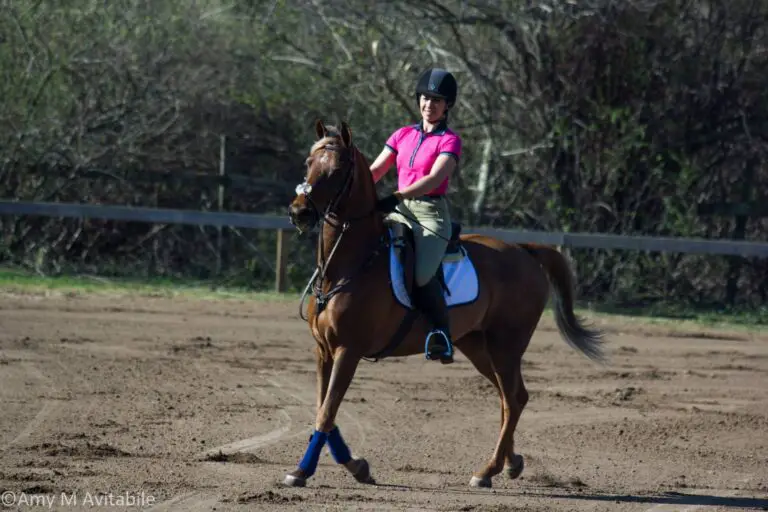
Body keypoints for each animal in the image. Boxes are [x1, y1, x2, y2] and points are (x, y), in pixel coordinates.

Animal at [284, 119, 605, 489]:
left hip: (506, 344)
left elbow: (327, 412)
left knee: (513, 399)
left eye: (336, 170)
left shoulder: (348, 350)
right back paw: (510, 463)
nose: (299, 212)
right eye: (309, 163)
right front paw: (356, 466)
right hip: (477, 345)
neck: (351, 263)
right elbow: (324, 410)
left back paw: (487, 471)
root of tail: (523, 250)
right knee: (509, 397)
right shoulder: (323, 350)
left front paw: (302, 471)